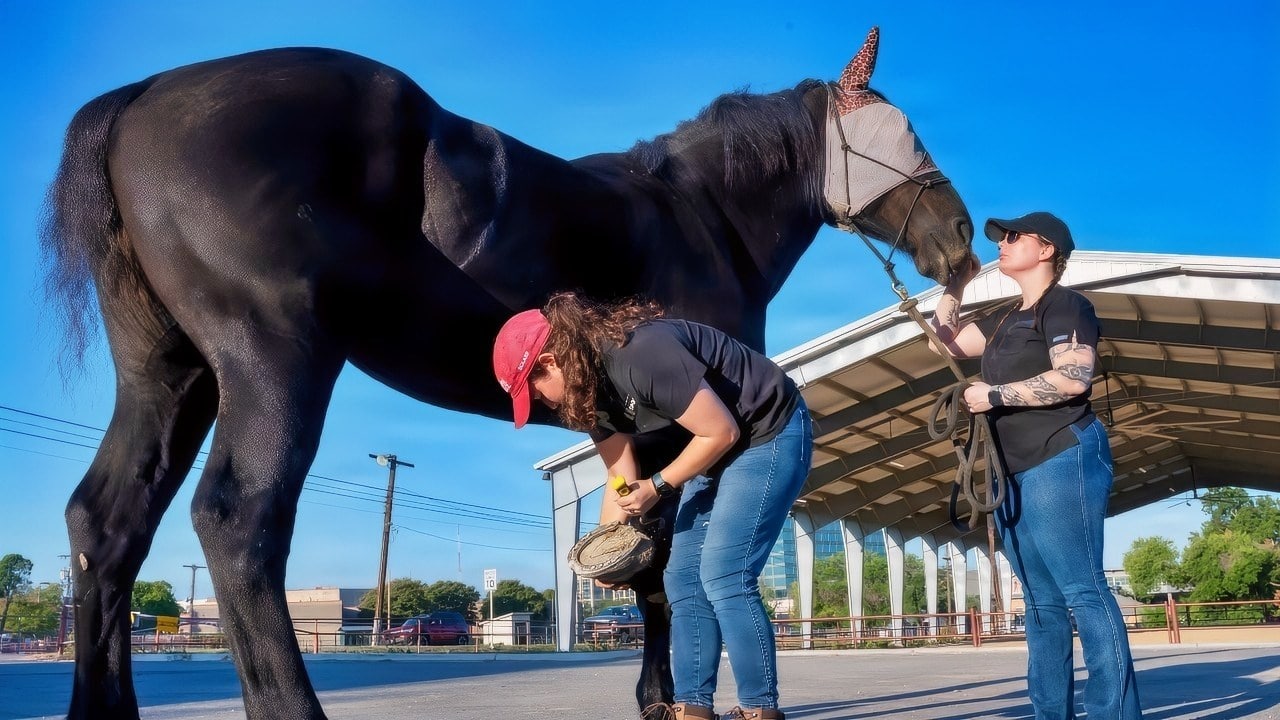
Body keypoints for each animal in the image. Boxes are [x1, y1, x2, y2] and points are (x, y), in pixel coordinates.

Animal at [42, 27, 972, 719]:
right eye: (907, 135)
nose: (961, 238)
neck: (697, 217)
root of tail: (141, 98)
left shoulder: (624, 424)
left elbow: (649, 563)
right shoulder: (668, 422)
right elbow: (660, 575)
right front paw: (660, 697)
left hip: (172, 375)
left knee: (107, 524)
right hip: (273, 356)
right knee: (239, 519)